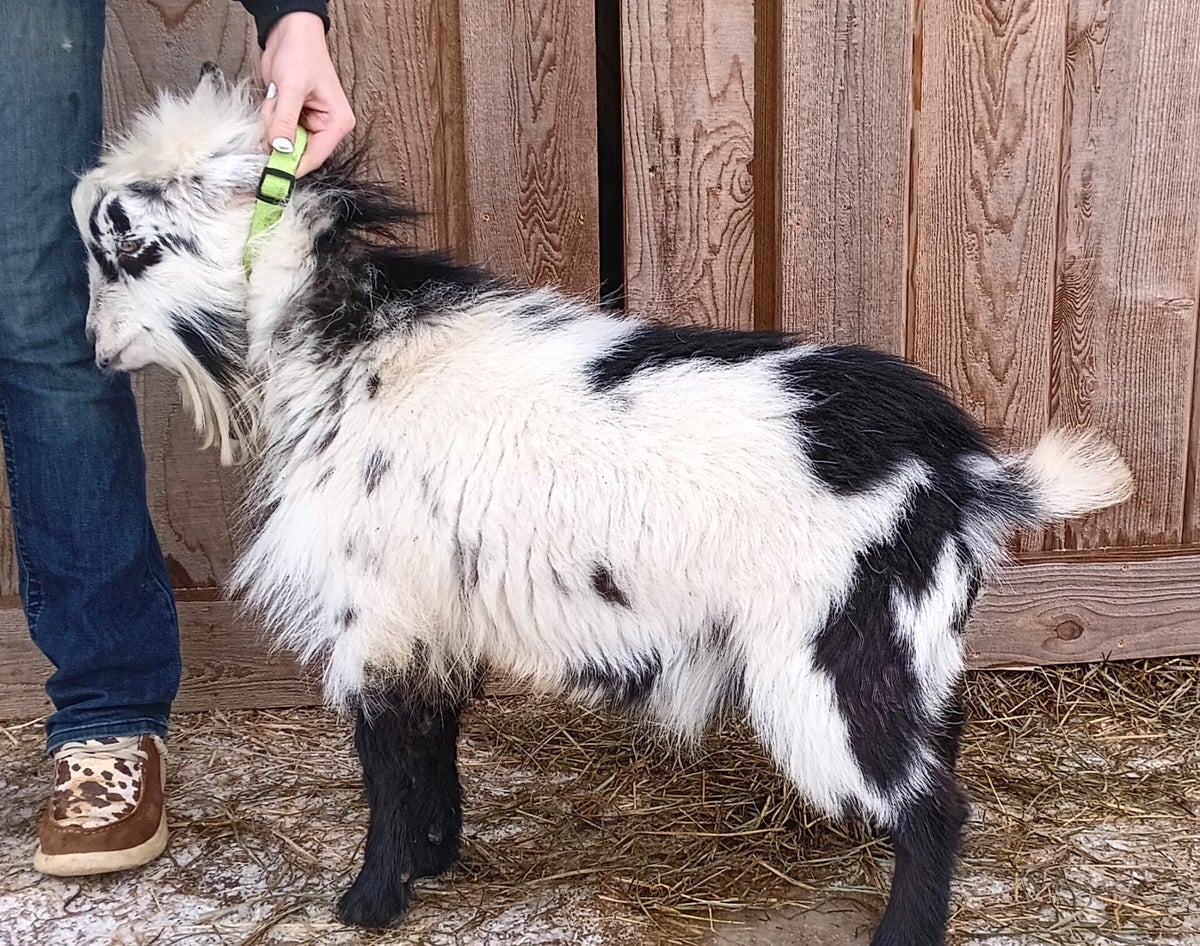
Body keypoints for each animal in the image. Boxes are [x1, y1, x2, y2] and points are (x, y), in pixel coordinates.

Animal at [73, 71, 1133, 946]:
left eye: (128, 246)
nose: (94, 346)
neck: (347, 346)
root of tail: (964, 470)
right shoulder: (435, 607)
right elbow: (435, 738)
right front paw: (437, 856)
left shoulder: (377, 609)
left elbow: (388, 755)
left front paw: (371, 900)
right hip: (909, 647)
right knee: (937, 759)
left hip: (831, 652)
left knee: (932, 808)